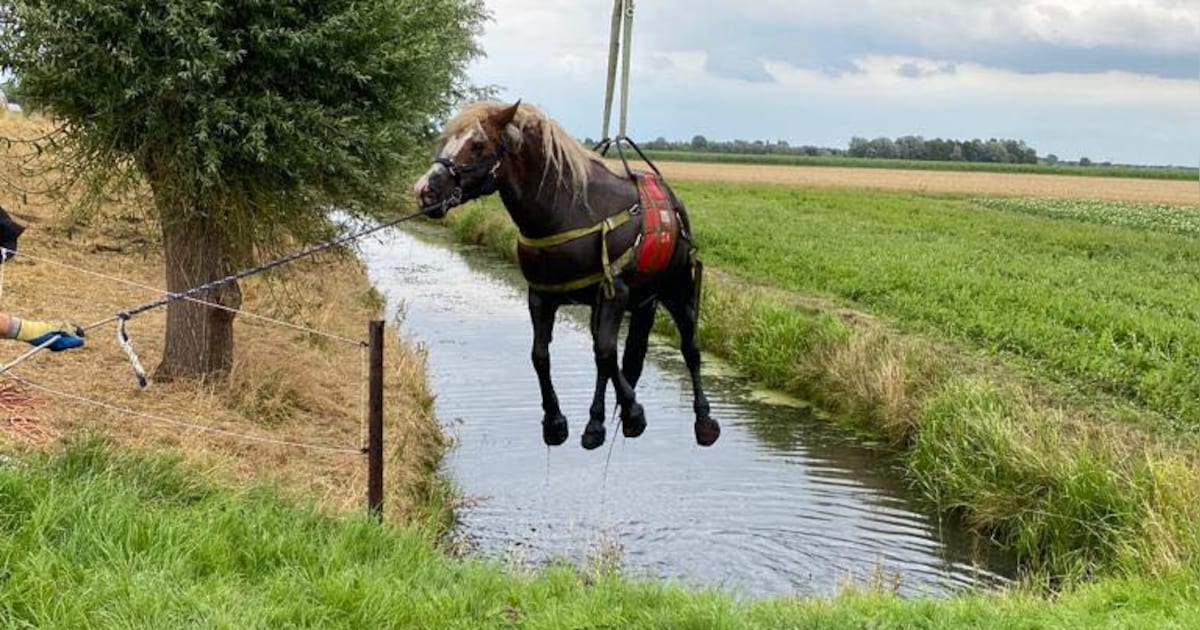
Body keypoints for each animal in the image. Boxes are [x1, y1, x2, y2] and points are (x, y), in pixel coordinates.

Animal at [413, 101, 719, 449]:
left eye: (477, 145)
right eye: (446, 140)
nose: (424, 191)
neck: (567, 211)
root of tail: (672, 202)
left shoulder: (616, 292)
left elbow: (606, 353)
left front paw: (633, 413)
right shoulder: (542, 296)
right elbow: (544, 355)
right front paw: (556, 422)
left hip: (676, 289)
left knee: (689, 349)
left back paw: (704, 420)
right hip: (637, 301)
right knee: (607, 358)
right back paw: (596, 424)